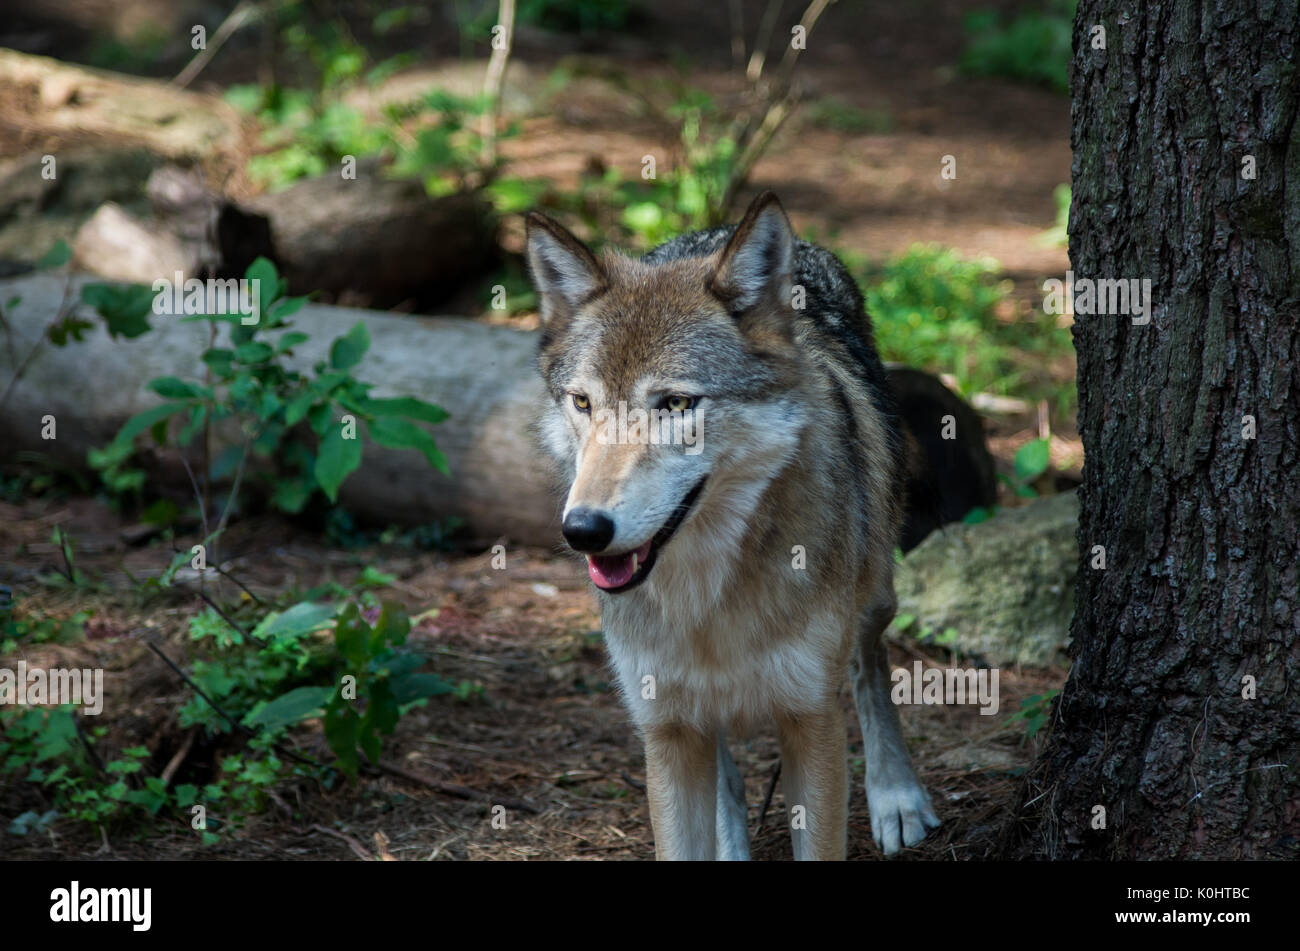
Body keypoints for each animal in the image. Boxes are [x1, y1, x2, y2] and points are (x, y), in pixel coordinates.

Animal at [526, 192, 940, 860]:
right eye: (583, 403)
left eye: (675, 404)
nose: (583, 529)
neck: (706, 603)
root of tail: (714, 231)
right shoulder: (666, 732)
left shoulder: (811, 721)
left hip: (876, 592)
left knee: (870, 668)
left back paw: (896, 798)